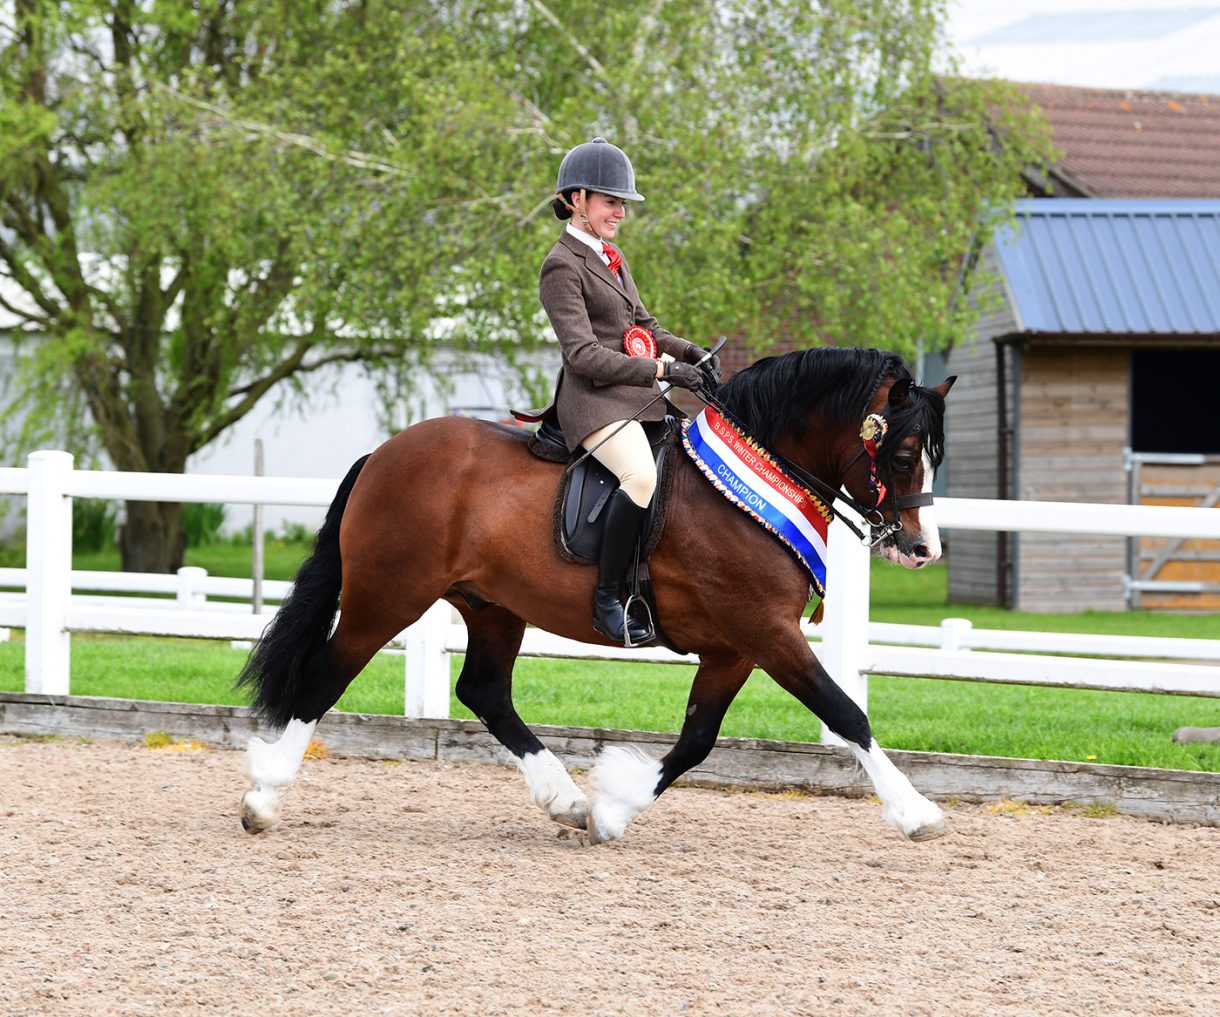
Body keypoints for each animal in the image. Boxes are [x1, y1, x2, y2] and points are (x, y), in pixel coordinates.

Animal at [236, 346, 956, 844]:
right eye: (901, 454)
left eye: (934, 458)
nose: (922, 550)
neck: (750, 486)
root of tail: (383, 454)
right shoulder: (766, 631)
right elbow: (845, 712)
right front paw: (915, 811)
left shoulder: (735, 647)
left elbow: (697, 739)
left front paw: (611, 809)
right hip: (387, 596)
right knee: (325, 677)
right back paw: (264, 798)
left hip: (492, 606)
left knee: (485, 692)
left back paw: (566, 799)